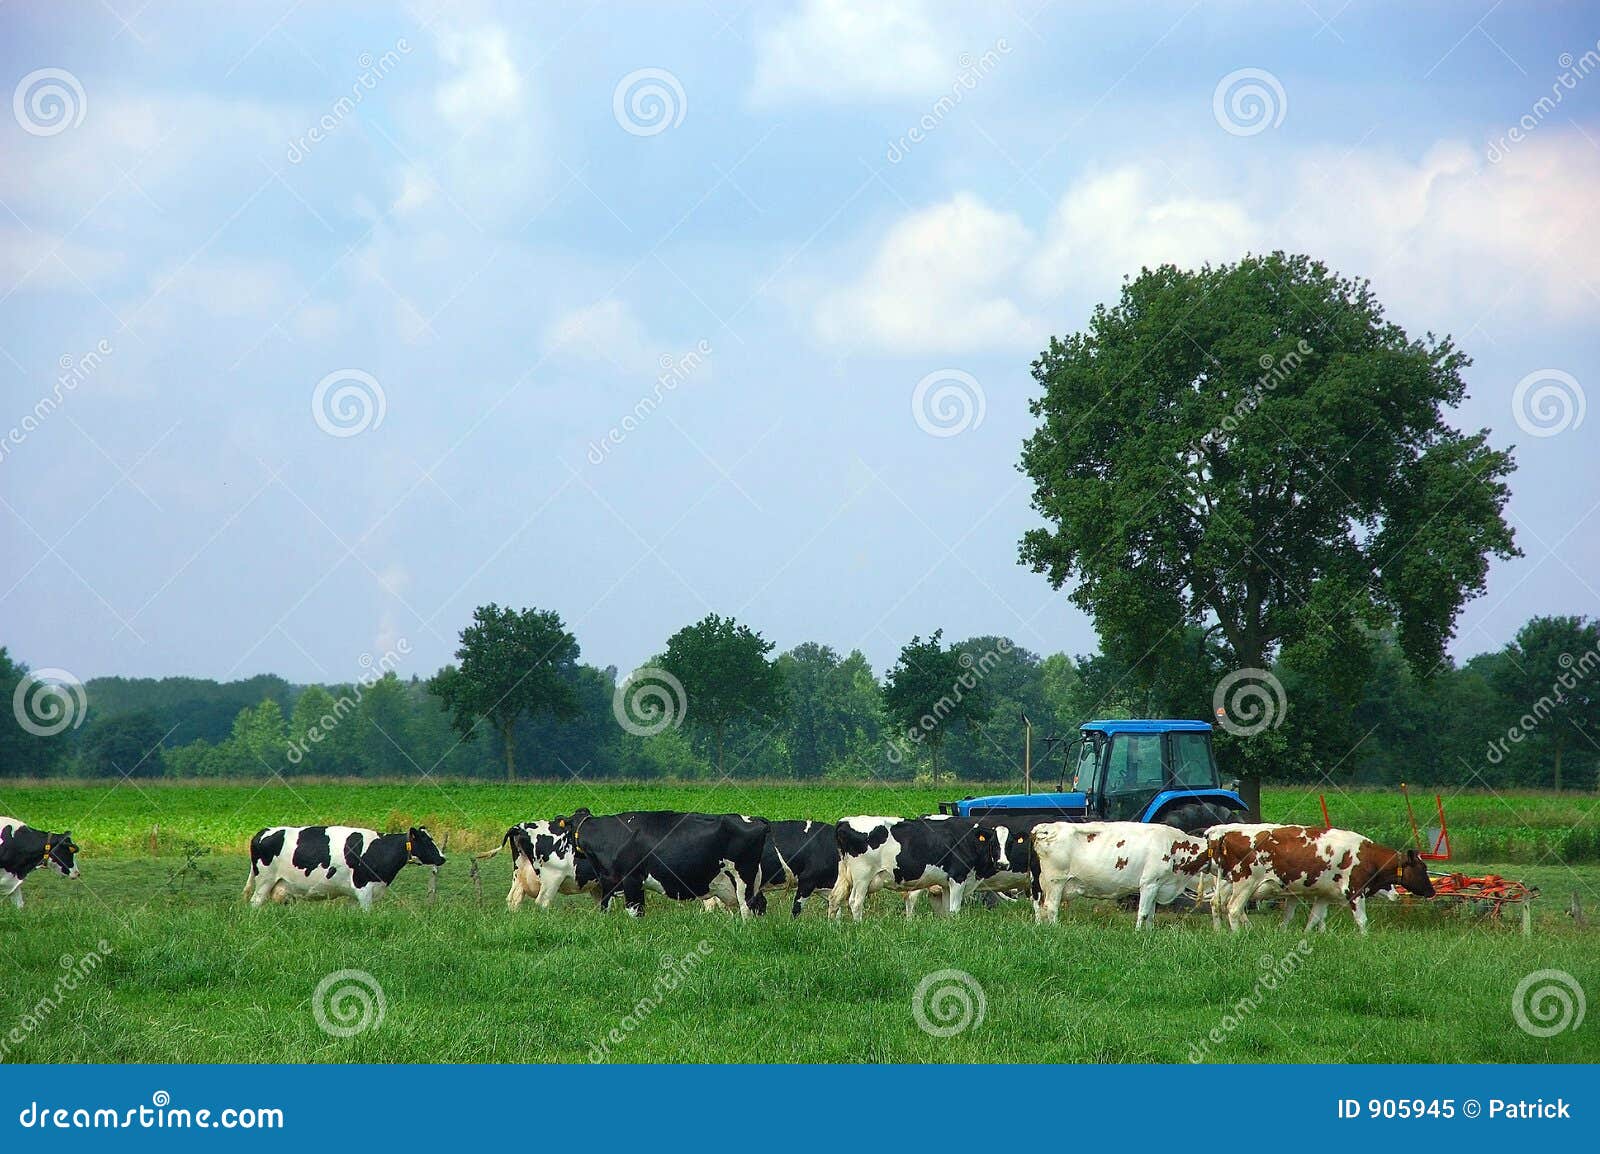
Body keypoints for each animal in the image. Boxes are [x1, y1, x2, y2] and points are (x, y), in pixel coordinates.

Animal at [243, 825, 445, 911]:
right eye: (426, 841)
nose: (443, 858)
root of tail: (263, 831)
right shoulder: (364, 889)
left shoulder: (355, 894)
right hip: (265, 880)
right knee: (254, 902)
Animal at [558, 809, 770, 917]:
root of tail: (755, 819)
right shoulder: (610, 881)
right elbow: (605, 908)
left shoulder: (631, 878)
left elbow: (635, 911)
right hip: (755, 880)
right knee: (760, 904)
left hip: (744, 878)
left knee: (747, 907)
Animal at [827, 815, 1002, 920]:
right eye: (993, 843)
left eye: (1007, 843)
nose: (1003, 863)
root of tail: (845, 821)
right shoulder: (958, 878)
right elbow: (954, 909)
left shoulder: (946, 883)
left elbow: (947, 909)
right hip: (862, 877)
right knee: (855, 902)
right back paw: (859, 925)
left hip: (844, 874)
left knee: (834, 898)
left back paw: (833, 927)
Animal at [1030, 821, 1209, 928]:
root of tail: (1045, 828)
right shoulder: (1149, 883)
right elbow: (1143, 913)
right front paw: (1138, 934)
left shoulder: (1157, 886)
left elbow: (1151, 915)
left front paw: (1149, 934)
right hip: (1055, 881)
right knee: (1051, 907)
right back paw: (1056, 929)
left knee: (1040, 906)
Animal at [1206, 823, 1435, 934]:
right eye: (1422, 868)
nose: (1432, 892)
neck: (1367, 856)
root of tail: (1227, 833)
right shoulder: (1355, 891)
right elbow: (1362, 921)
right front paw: (1365, 940)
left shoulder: (1324, 895)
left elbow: (1314, 919)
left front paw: (1306, 937)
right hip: (1245, 883)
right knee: (1233, 909)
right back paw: (1237, 936)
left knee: (1217, 904)